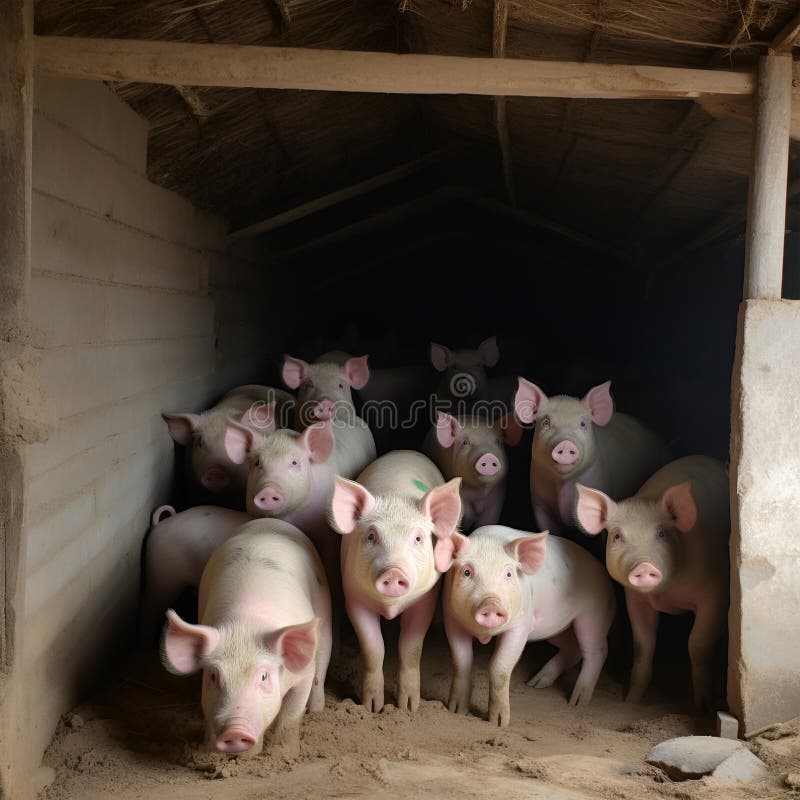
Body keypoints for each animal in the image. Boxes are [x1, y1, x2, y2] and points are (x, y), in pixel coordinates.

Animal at [161, 520, 332, 756]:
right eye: (213, 676)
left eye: (264, 676)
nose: (235, 731)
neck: (244, 625)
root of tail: (270, 521)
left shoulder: (303, 673)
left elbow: (292, 714)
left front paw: (283, 754)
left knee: (323, 658)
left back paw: (316, 710)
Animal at [328, 451, 463, 712]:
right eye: (371, 536)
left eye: (418, 538)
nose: (393, 572)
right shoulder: (354, 598)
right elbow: (373, 648)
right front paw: (373, 707)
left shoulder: (426, 600)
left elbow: (410, 648)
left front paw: (409, 707)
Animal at [440, 524, 615, 727]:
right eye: (467, 572)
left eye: (509, 574)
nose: (490, 603)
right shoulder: (451, 619)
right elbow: (461, 662)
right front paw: (456, 711)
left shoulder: (521, 624)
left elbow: (499, 667)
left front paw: (499, 723)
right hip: (554, 628)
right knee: (573, 649)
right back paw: (536, 683)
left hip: (593, 616)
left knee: (597, 651)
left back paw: (577, 702)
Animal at [574, 455, 730, 709]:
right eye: (617, 536)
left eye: (662, 534)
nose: (644, 566)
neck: (667, 595)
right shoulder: (635, 599)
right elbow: (643, 645)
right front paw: (632, 700)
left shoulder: (716, 593)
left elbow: (698, 644)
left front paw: (703, 706)